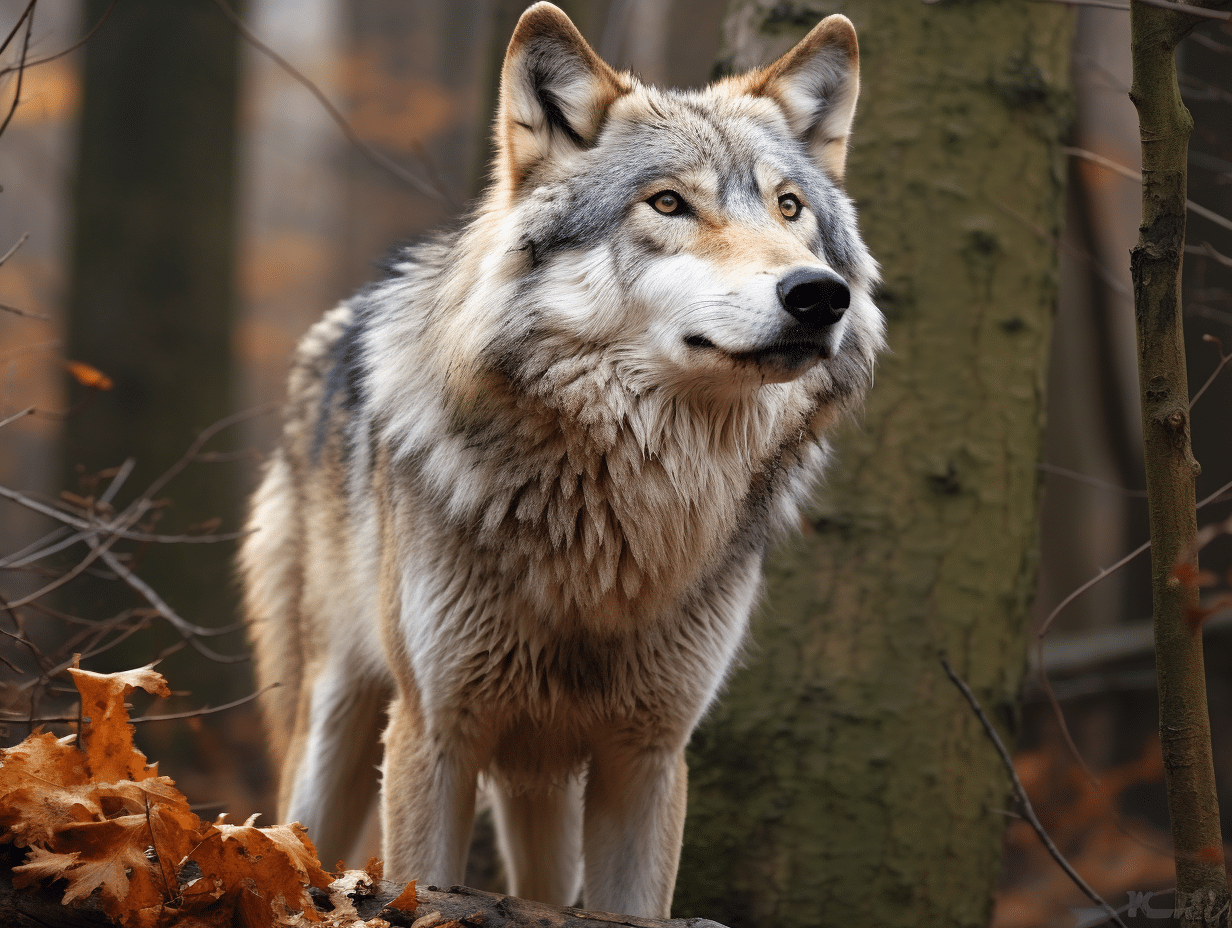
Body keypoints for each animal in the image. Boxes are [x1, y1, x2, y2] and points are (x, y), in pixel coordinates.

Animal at [240, 2, 882, 918]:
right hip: (332, 731)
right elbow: (421, 884)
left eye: (789, 207)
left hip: (539, 784)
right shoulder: (435, 734)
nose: (819, 294)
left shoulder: (649, 758)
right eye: (668, 202)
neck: (620, 520)